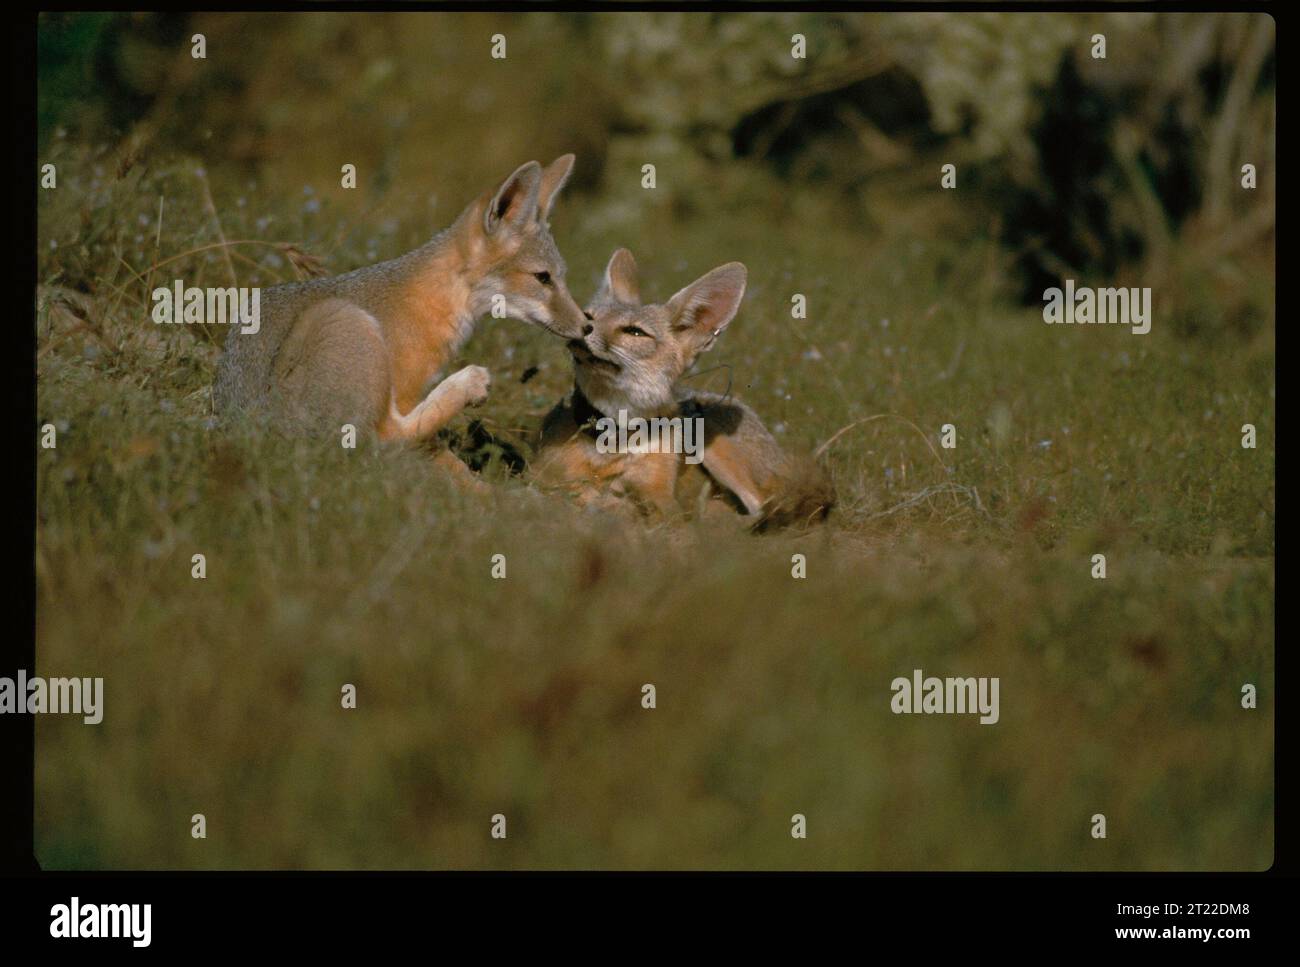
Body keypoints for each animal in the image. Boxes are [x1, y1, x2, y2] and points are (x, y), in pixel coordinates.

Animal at [212, 155, 589, 471]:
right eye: (543, 278)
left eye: (562, 276)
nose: (587, 327)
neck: (433, 298)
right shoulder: (406, 393)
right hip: (347, 322)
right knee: (387, 442)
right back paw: (466, 385)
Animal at [532, 248, 834, 529]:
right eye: (589, 315)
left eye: (635, 332)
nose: (583, 327)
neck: (613, 442)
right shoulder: (540, 478)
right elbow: (569, 493)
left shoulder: (662, 499)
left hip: (712, 440)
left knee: (760, 510)